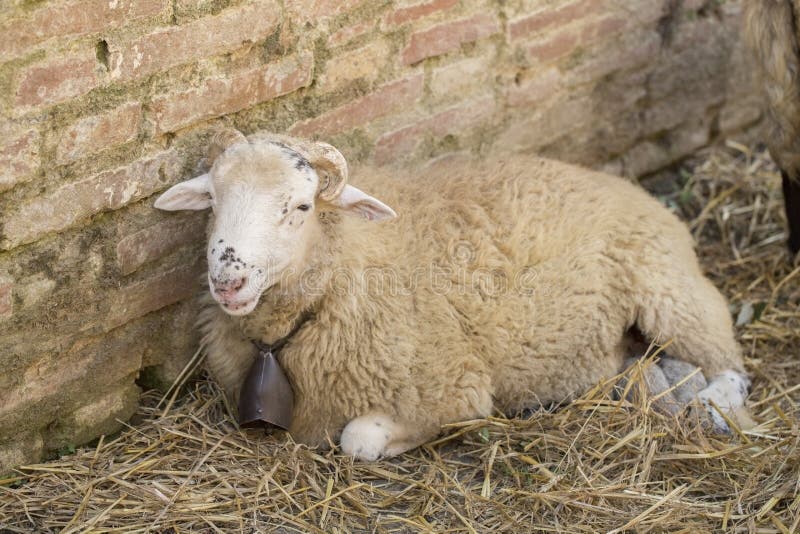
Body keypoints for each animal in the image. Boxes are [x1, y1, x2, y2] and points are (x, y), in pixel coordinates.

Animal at [154, 128, 752, 461]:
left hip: (670, 291)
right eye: (213, 200)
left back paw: (711, 406)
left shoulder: (454, 383)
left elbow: (358, 439)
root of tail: (628, 188)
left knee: (731, 366)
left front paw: (398, 439)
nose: (228, 281)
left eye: (300, 207)